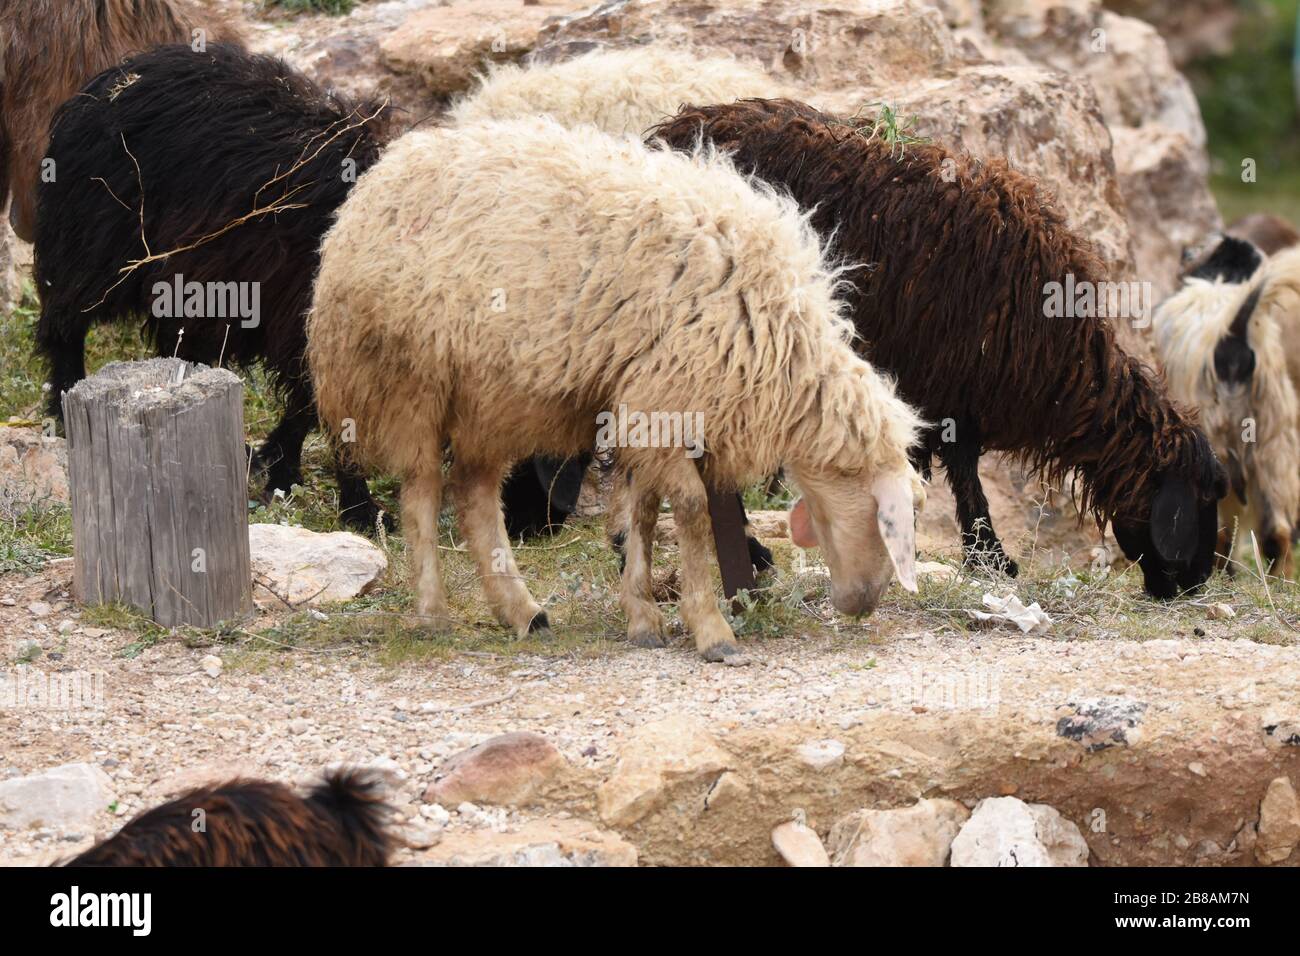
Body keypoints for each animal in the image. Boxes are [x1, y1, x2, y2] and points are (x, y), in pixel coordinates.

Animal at [33, 43, 393, 530]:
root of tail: (105, 82)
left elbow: (305, 406)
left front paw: (279, 466)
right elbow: (324, 410)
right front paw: (359, 508)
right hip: (95, 247)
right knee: (65, 323)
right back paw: (65, 403)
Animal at [307, 117, 925, 662]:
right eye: (886, 520)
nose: (863, 605)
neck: (772, 334)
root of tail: (373, 185)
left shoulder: (645, 406)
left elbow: (643, 513)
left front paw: (644, 616)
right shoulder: (661, 404)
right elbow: (691, 511)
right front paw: (710, 628)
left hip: (490, 398)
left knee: (475, 493)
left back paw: (521, 610)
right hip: (410, 380)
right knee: (422, 494)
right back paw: (434, 611)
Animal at [650, 98, 1227, 598]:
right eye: (1198, 500)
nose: (1194, 584)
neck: (1063, 369)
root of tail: (664, 134)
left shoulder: (950, 388)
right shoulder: (948, 384)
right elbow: (963, 470)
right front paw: (989, 556)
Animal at [1155, 235, 1300, 577]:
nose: (1185, 253)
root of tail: (1234, 332)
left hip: (1214, 446)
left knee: (1219, 531)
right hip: (1273, 445)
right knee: (1278, 531)